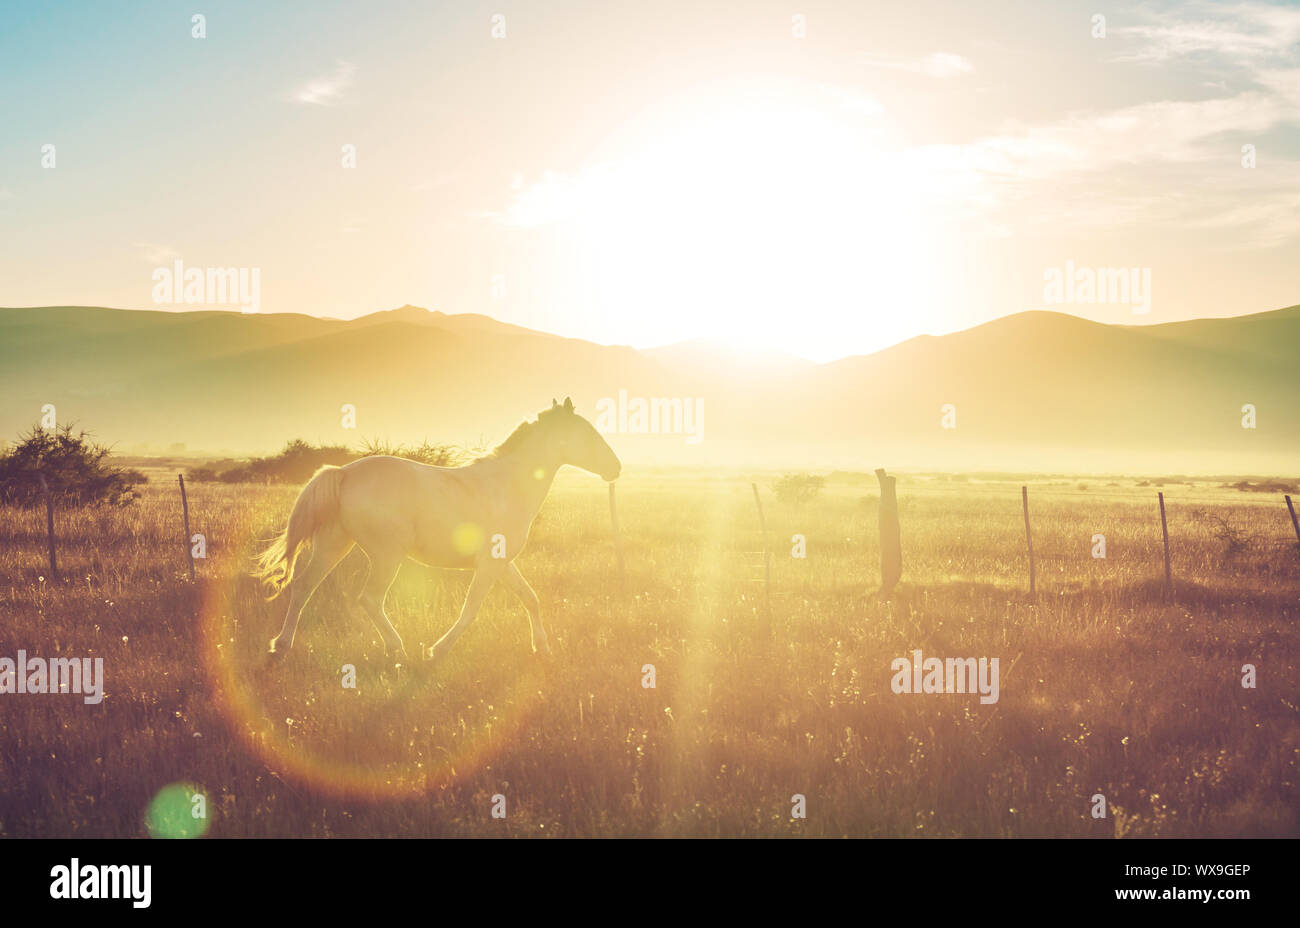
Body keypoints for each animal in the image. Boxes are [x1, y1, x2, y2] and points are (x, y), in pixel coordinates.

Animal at [254, 397, 621, 662]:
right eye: (587, 433)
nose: (615, 468)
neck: (509, 485)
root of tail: (344, 473)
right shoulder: (489, 567)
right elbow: (471, 609)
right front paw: (437, 650)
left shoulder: (503, 564)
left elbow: (530, 598)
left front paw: (542, 648)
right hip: (387, 555)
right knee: (369, 599)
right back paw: (396, 648)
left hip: (334, 545)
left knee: (303, 587)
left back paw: (280, 645)